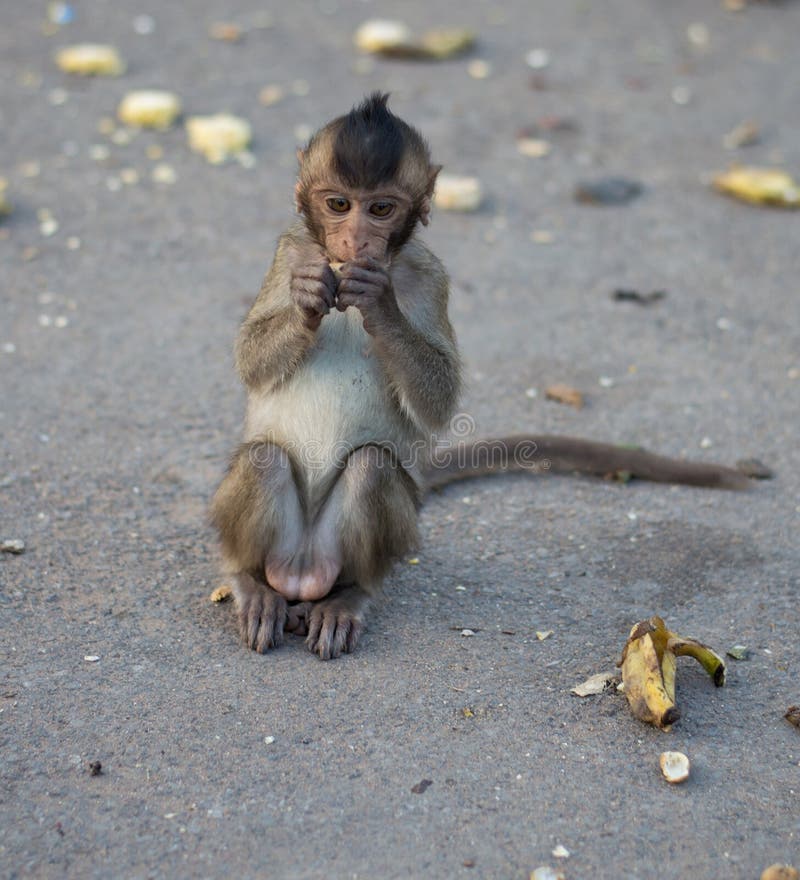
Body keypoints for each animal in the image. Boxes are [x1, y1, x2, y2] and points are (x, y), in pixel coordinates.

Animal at [210, 93, 766, 661]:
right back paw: (250, 583)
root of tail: (301, 572)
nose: (356, 238)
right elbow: (250, 359)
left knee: (372, 468)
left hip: (380, 533)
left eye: (381, 209)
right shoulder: (288, 251)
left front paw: (380, 304)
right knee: (264, 460)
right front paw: (307, 297)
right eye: (339, 204)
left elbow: (439, 400)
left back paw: (350, 596)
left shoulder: (431, 274)